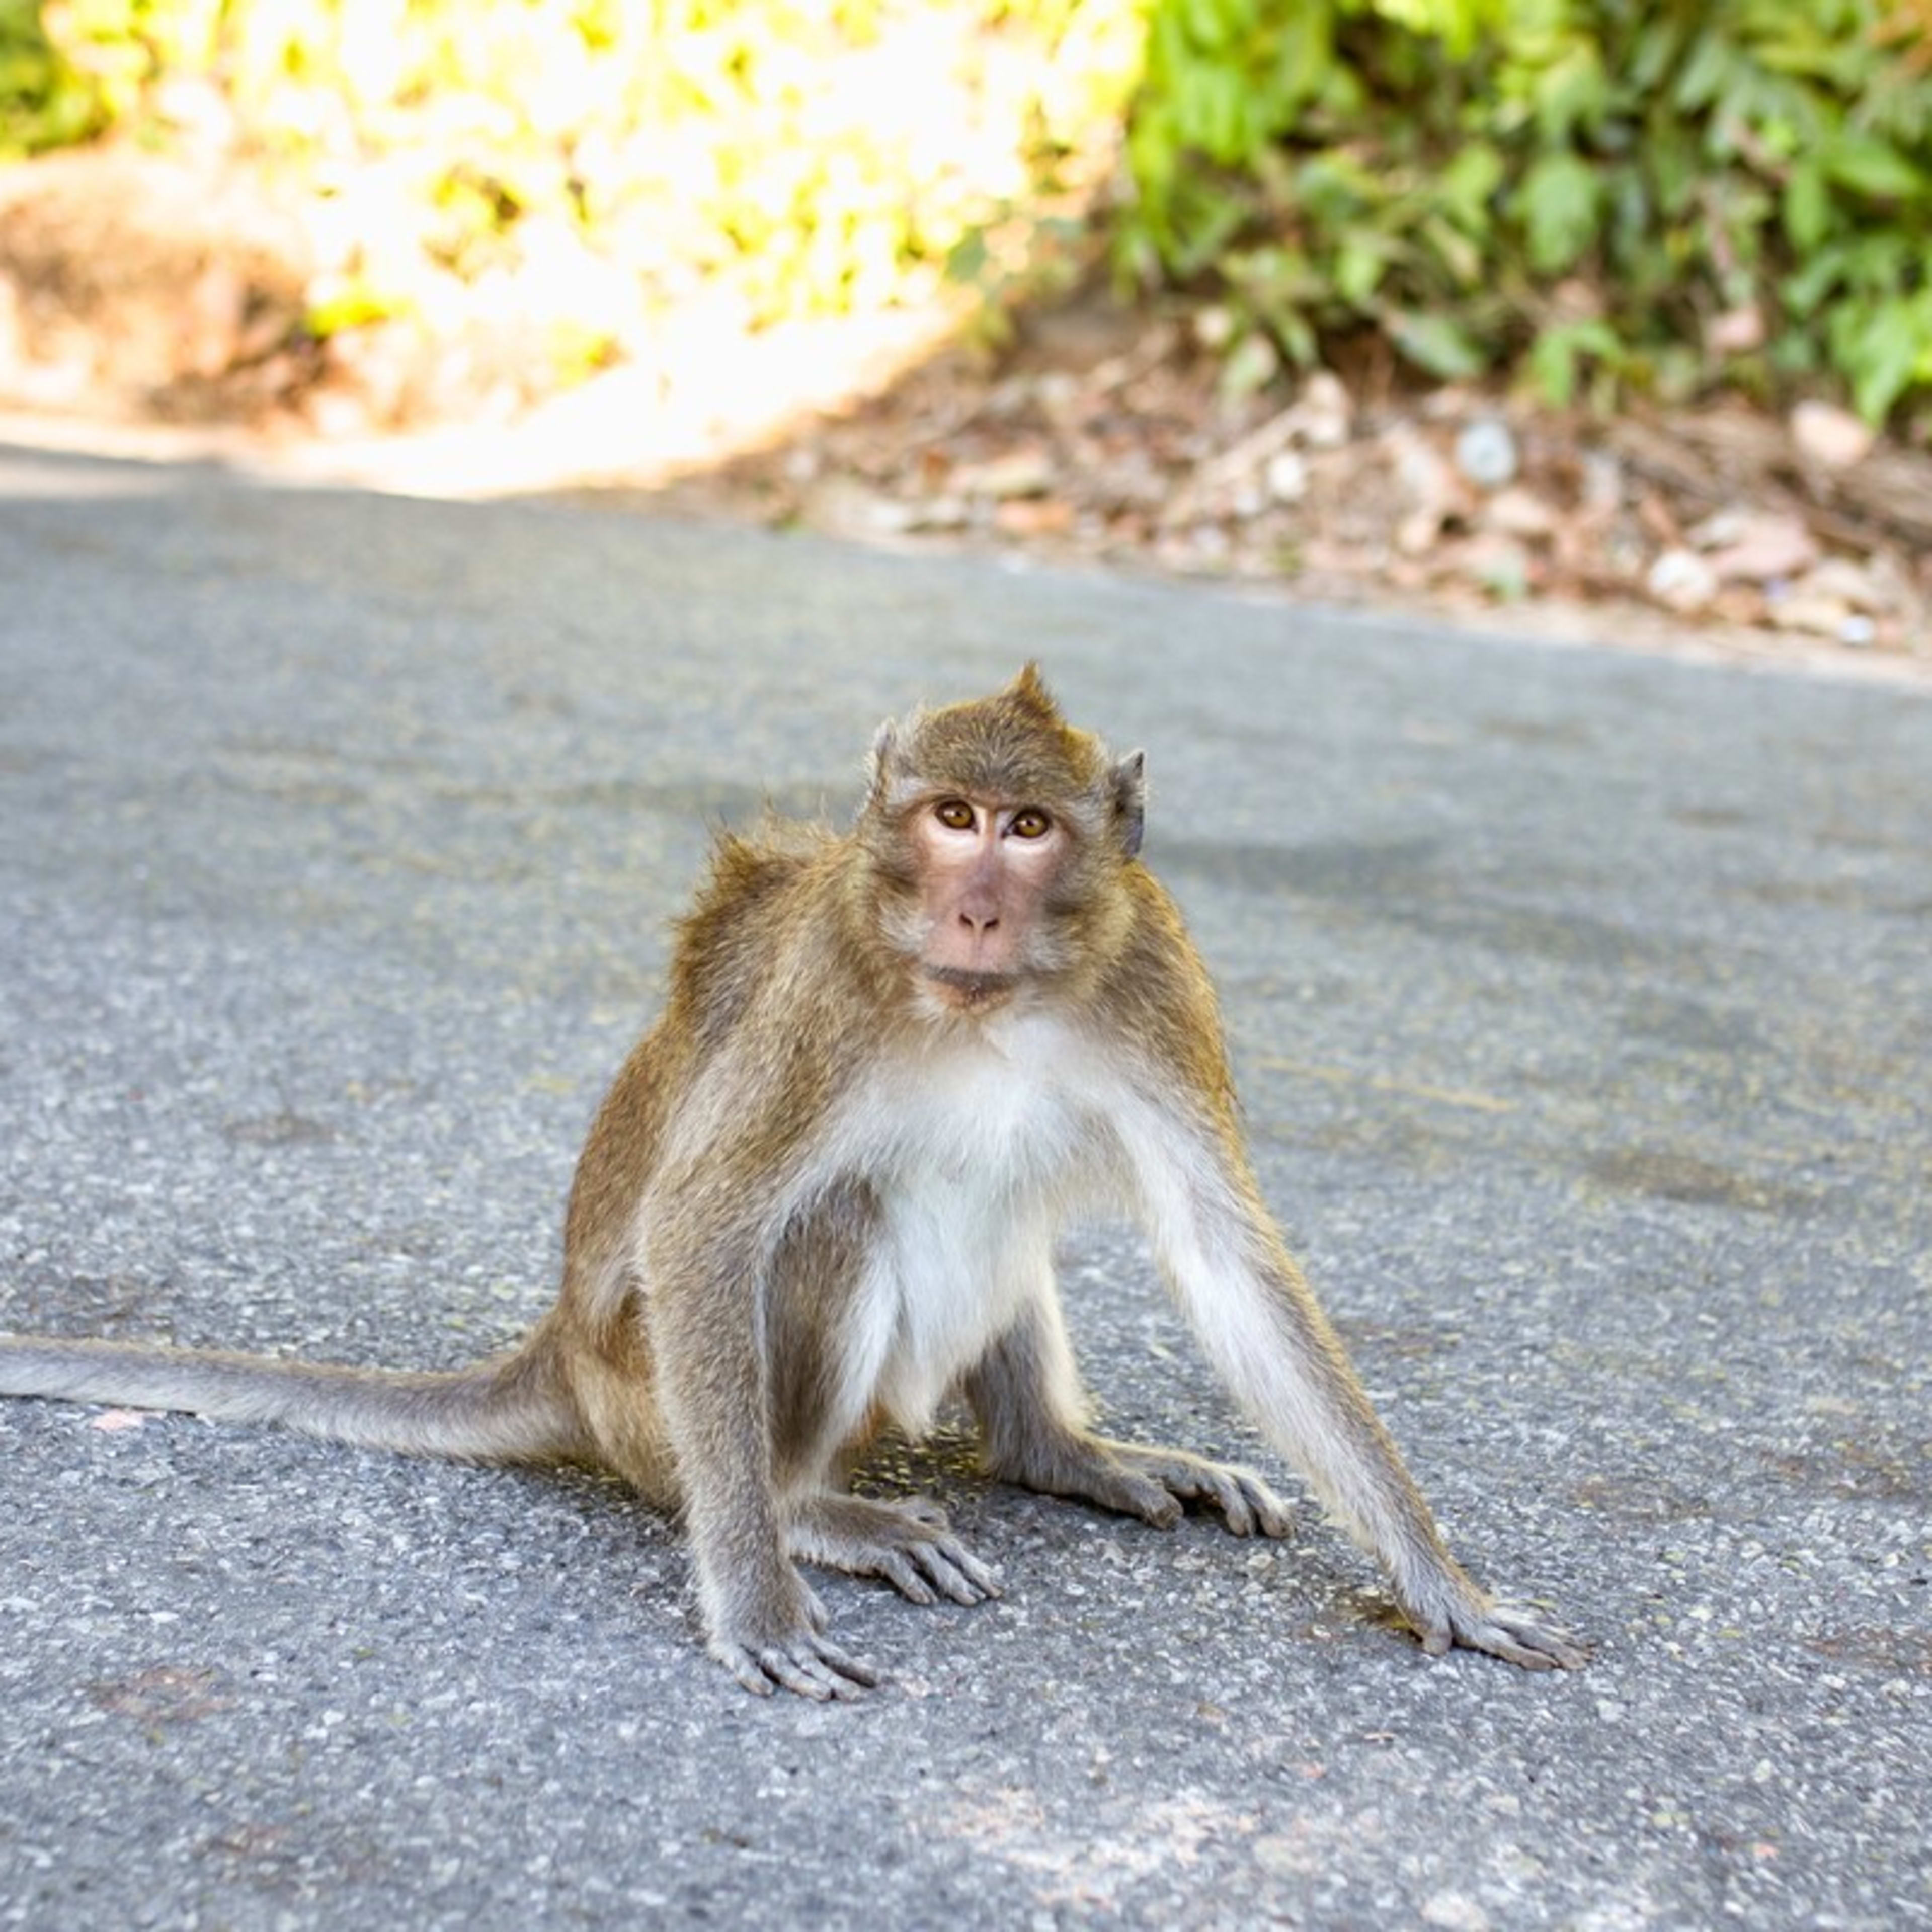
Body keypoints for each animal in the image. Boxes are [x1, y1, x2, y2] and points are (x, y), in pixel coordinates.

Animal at [0, 666, 1585, 1698]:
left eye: (1028, 829)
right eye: (949, 815)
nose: (974, 906)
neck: (980, 1003)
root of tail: (563, 1357)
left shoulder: (1154, 976)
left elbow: (1223, 1252)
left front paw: (1441, 1585)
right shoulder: (825, 987)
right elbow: (708, 1219)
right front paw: (760, 1599)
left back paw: (1060, 1454)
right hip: (653, 1401)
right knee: (828, 1222)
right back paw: (810, 1509)